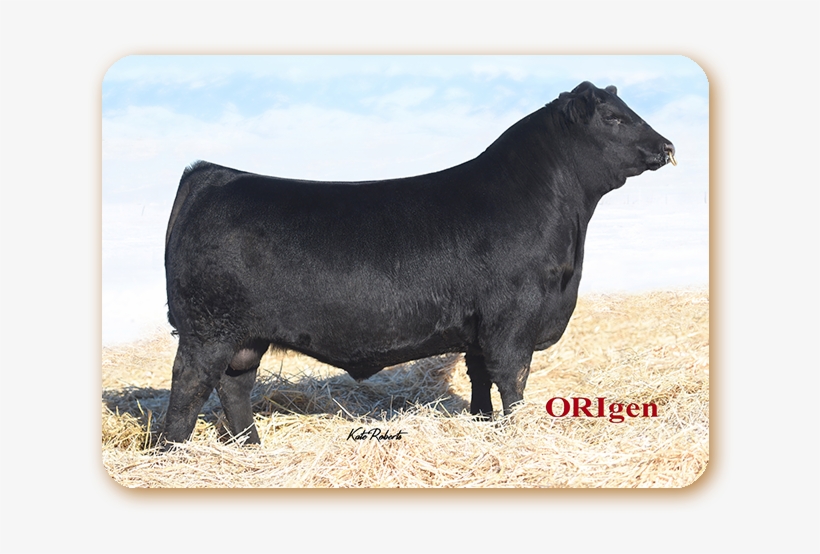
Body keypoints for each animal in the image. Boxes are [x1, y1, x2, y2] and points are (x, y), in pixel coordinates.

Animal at [161, 82, 675, 446]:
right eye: (612, 117)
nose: (667, 146)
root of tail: (211, 174)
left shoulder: (477, 328)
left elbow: (481, 379)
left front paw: (481, 423)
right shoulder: (513, 319)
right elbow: (512, 381)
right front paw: (514, 433)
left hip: (245, 337)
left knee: (234, 387)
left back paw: (250, 447)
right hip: (208, 330)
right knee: (188, 387)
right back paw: (173, 453)